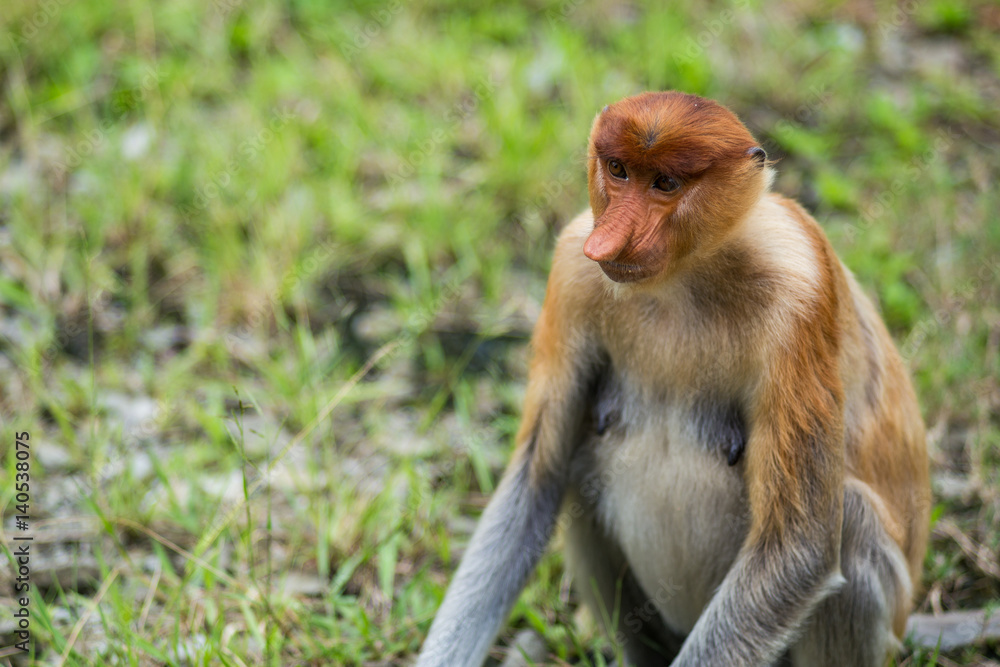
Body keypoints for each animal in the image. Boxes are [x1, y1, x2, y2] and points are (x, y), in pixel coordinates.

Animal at [415, 91, 930, 667]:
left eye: (665, 184)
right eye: (618, 170)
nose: (608, 242)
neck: (682, 280)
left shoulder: (799, 292)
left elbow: (798, 546)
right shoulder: (573, 266)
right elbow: (536, 478)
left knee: (855, 523)